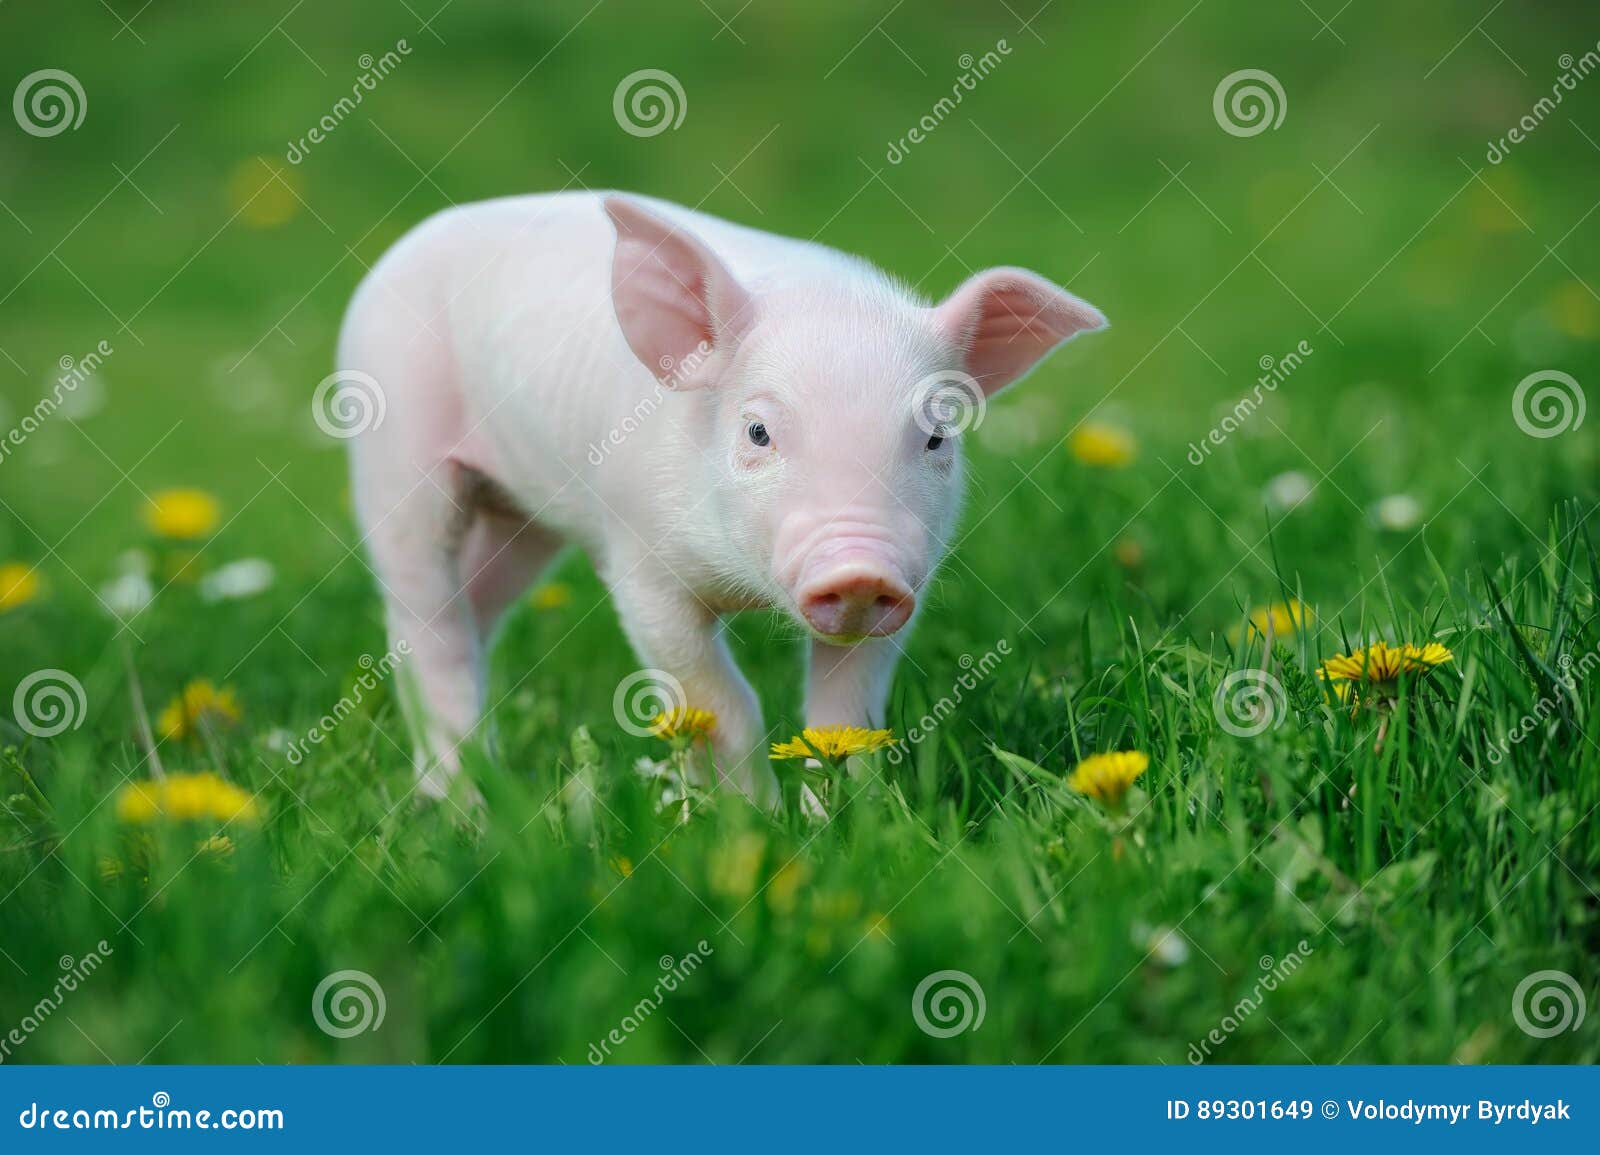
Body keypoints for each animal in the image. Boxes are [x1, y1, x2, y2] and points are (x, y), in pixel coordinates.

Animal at [337, 191, 1106, 807]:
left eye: (936, 435)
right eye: (758, 430)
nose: (860, 569)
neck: (747, 588)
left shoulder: (911, 581)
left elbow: (846, 712)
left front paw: (839, 821)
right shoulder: (639, 564)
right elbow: (720, 701)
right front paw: (755, 819)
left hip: (520, 522)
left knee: (476, 609)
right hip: (393, 457)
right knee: (428, 621)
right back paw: (458, 806)